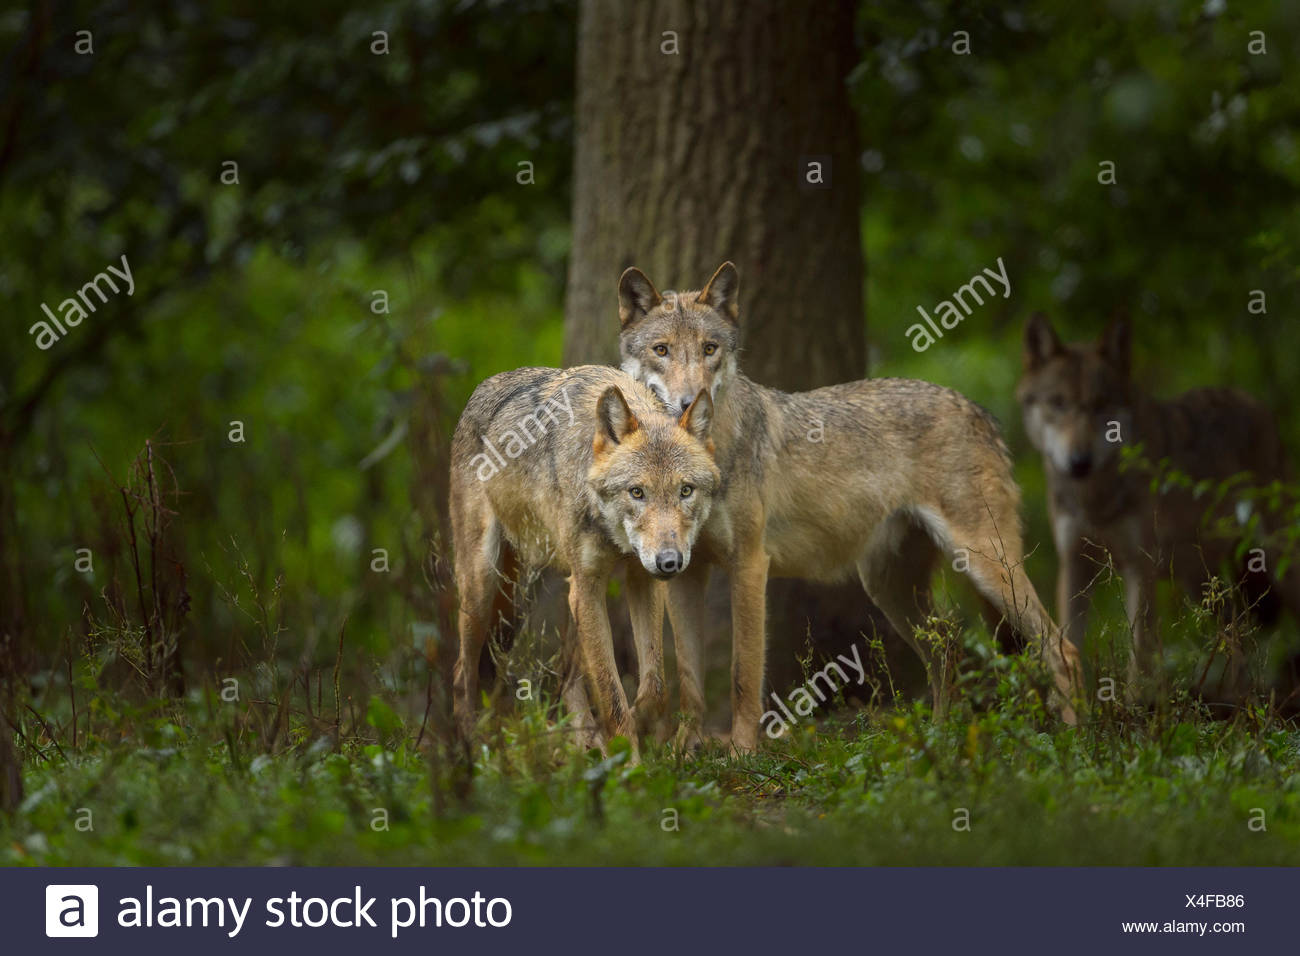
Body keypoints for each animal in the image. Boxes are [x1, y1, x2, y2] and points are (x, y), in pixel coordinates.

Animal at [450, 365, 719, 752]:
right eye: (637, 492)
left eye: (685, 491)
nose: (670, 561)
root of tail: (484, 386)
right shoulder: (589, 585)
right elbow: (610, 693)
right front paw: (628, 759)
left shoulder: (639, 580)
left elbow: (654, 688)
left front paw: (636, 729)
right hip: (484, 586)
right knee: (462, 672)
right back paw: (471, 748)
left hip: (561, 591)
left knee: (567, 677)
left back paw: (584, 741)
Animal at [617, 263, 1082, 750]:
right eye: (662, 350)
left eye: (710, 349)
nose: (689, 402)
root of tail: (979, 410)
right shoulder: (682, 573)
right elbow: (689, 679)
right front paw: (683, 754)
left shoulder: (750, 565)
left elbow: (743, 674)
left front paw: (742, 752)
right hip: (891, 588)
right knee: (947, 649)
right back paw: (938, 741)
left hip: (984, 566)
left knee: (1060, 646)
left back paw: (1075, 738)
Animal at [1018, 313, 1300, 693]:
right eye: (1057, 402)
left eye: (1101, 404)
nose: (1079, 462)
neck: (1096, 496)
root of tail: (1256, 405)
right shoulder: (1074, 563)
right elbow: (1070, 643)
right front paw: (1075, 704)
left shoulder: (1141, 568)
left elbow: (1140, 657)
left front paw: (1134, 705)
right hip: (1203, 583)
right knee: (1239, 637)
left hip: (1275, 558)